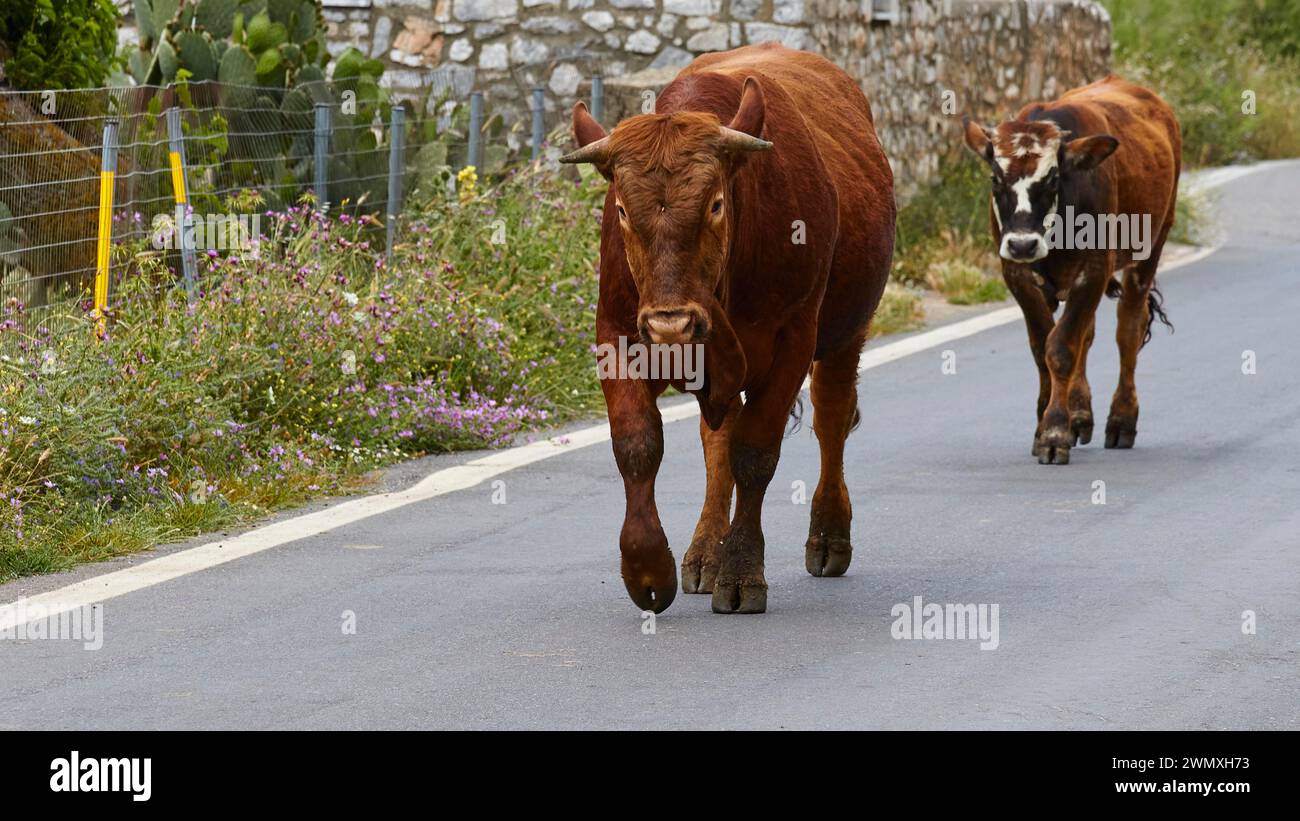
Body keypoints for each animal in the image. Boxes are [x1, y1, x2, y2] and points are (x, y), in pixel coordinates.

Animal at [560, 43, 895, 615]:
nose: (671, 323)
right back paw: (702, 553)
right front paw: (648, 568)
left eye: (716, 203)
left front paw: (741, 572)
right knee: (715, 437)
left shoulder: (792, 343)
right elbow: (638, 444)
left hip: (847, 333)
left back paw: (828, 535)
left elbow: (755, 453)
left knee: (831, 417)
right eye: (621, 210)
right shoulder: (618, 336)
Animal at [961, 75, 1180, 465]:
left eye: (1052, 179)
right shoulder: (1017, 275)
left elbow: (1061, 348)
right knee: (1087, 335)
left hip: (1152, 245)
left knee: (1128, 329)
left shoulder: (1094, 270)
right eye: (995, 179)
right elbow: (1043, 348)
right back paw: (1080, 415)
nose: (1022, 244)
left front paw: (1054, 432)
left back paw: (1121, 419)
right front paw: (1044, 425)